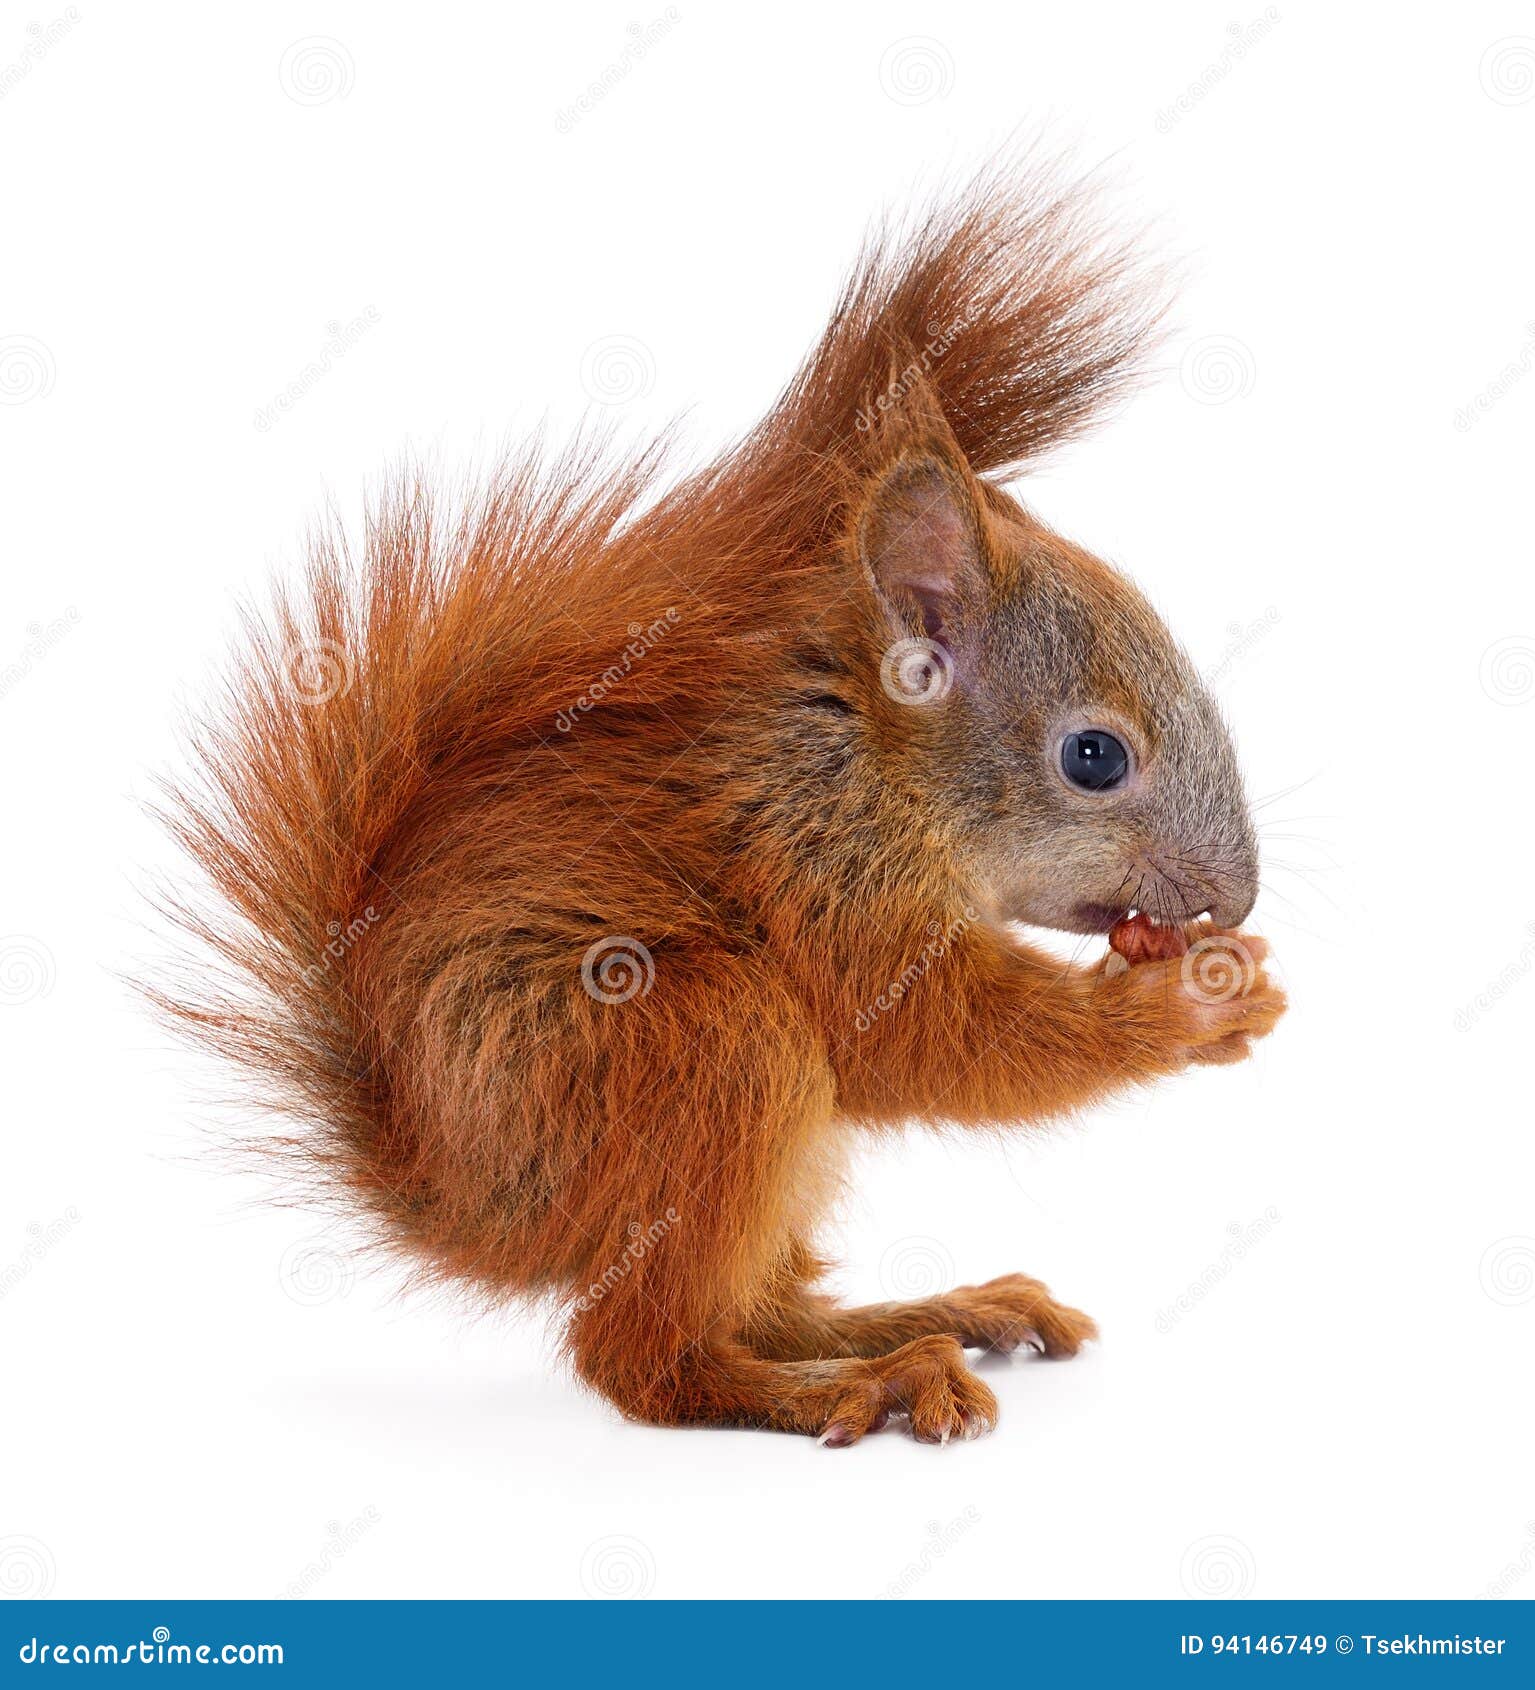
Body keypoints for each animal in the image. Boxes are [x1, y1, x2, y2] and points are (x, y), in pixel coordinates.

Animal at [158, 161, 1285, 1447]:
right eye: (1093, 756)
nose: (1233, 897)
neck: (872, 759)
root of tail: (475, 1204)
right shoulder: (816, 854)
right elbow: (922, 1035)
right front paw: (1186, 1003)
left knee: (754, 1303)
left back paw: (926, 1314)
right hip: (694, 1045)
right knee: (640, 1352)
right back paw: (852, 1381)